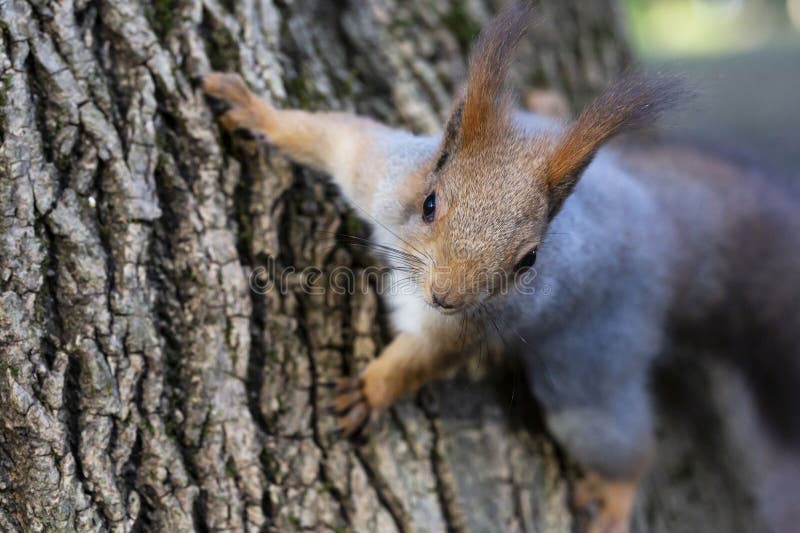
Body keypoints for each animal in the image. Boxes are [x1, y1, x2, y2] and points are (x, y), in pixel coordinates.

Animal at [203, 2, 800, 531]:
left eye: (528, 260)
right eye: (430, 204)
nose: (445, 296)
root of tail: (656, 224)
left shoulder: (474, 323)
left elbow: (424, 358)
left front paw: (374, 389)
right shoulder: (384, 175)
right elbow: (332, 136)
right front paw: (253, 109)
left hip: (591, 373)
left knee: (622, 442)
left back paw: (617, 497)